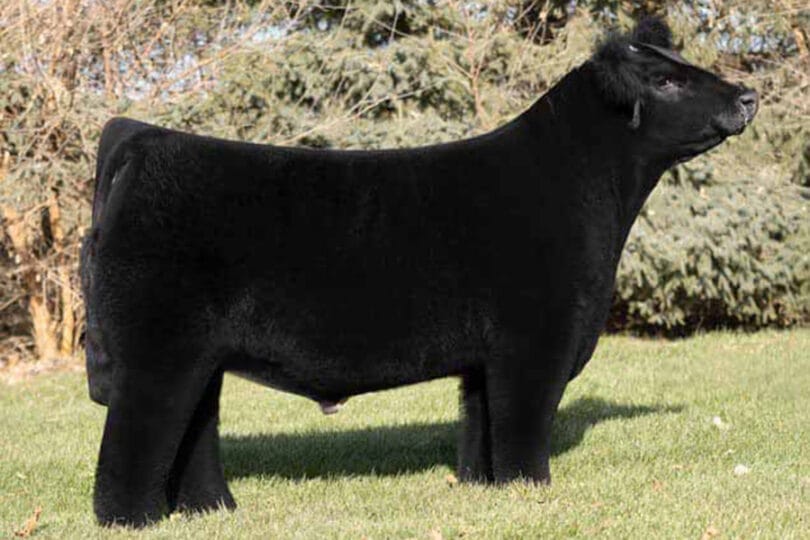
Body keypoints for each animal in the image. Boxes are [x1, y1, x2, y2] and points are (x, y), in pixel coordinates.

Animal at [81, 17, 758, 527]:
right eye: (667, 80)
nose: (748, 95)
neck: (582, 187)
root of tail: (143, 139)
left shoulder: (487, 356)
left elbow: (481, 426)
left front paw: (489, 492)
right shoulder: (535, 340)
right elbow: (522, 426)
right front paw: (533, 493)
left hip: (199, 353)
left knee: (193, 429)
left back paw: (214, 511)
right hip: (158, 348)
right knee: (137, 436)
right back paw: (133, 521)